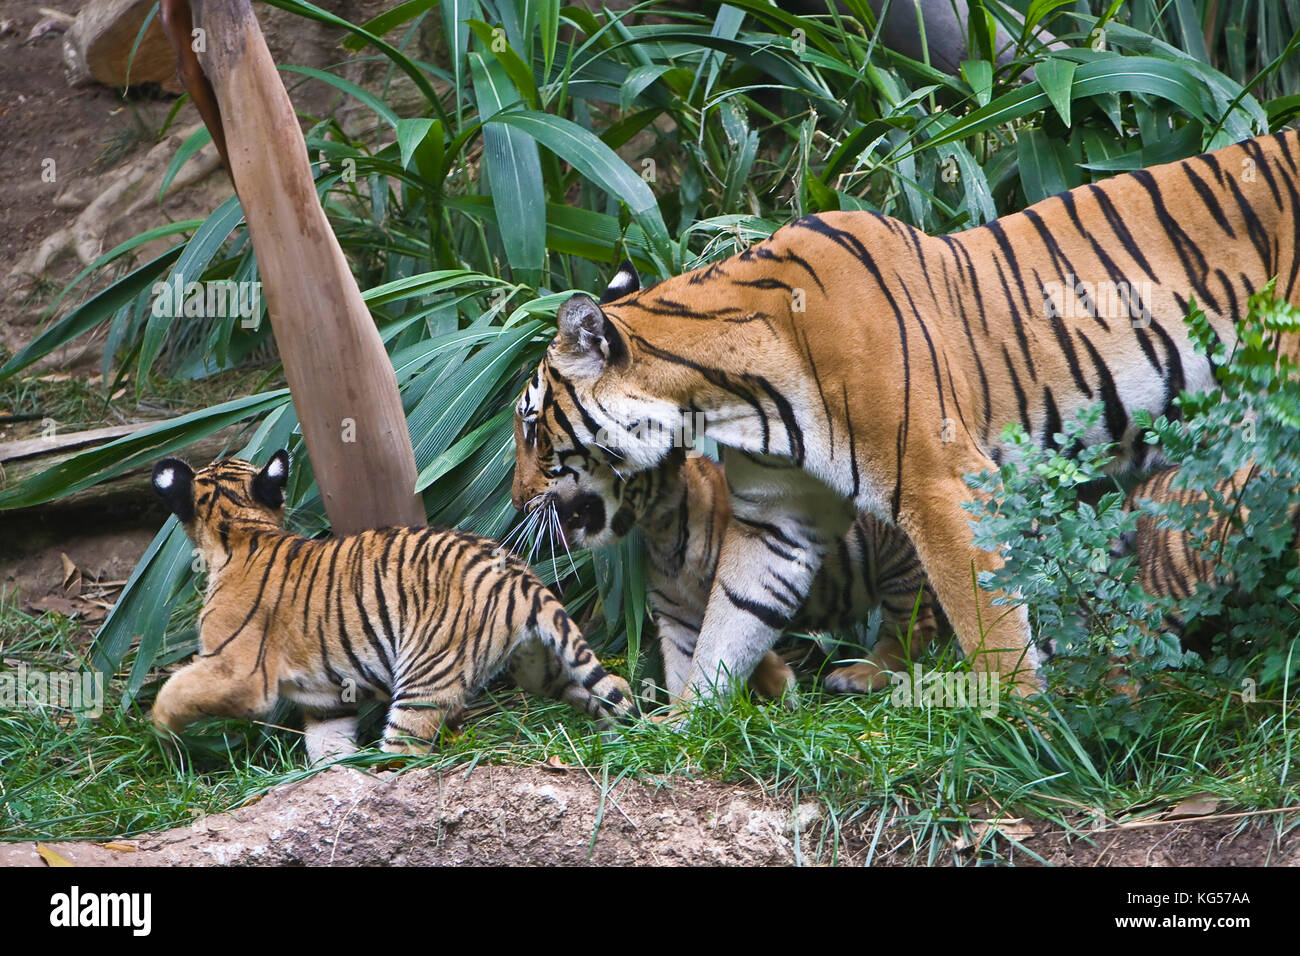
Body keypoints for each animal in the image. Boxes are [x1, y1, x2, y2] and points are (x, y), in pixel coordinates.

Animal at [149, 451, 633, 760]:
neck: (241, 525)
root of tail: (519, 574)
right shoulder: (328, 699)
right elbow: (326, 745)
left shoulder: (239, 674)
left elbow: (176, 690)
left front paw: (163, 733)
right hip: (540, 665)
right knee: (605, 692)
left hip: (425, 676)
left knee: (408, 751)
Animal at [512, 435, 947, 699]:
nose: (519, 501)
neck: (660, 525)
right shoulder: (674, 611)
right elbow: (686, 661)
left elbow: (730, 642)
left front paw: (779, 685)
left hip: (893, 553)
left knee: (917, 626)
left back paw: (860, 674)